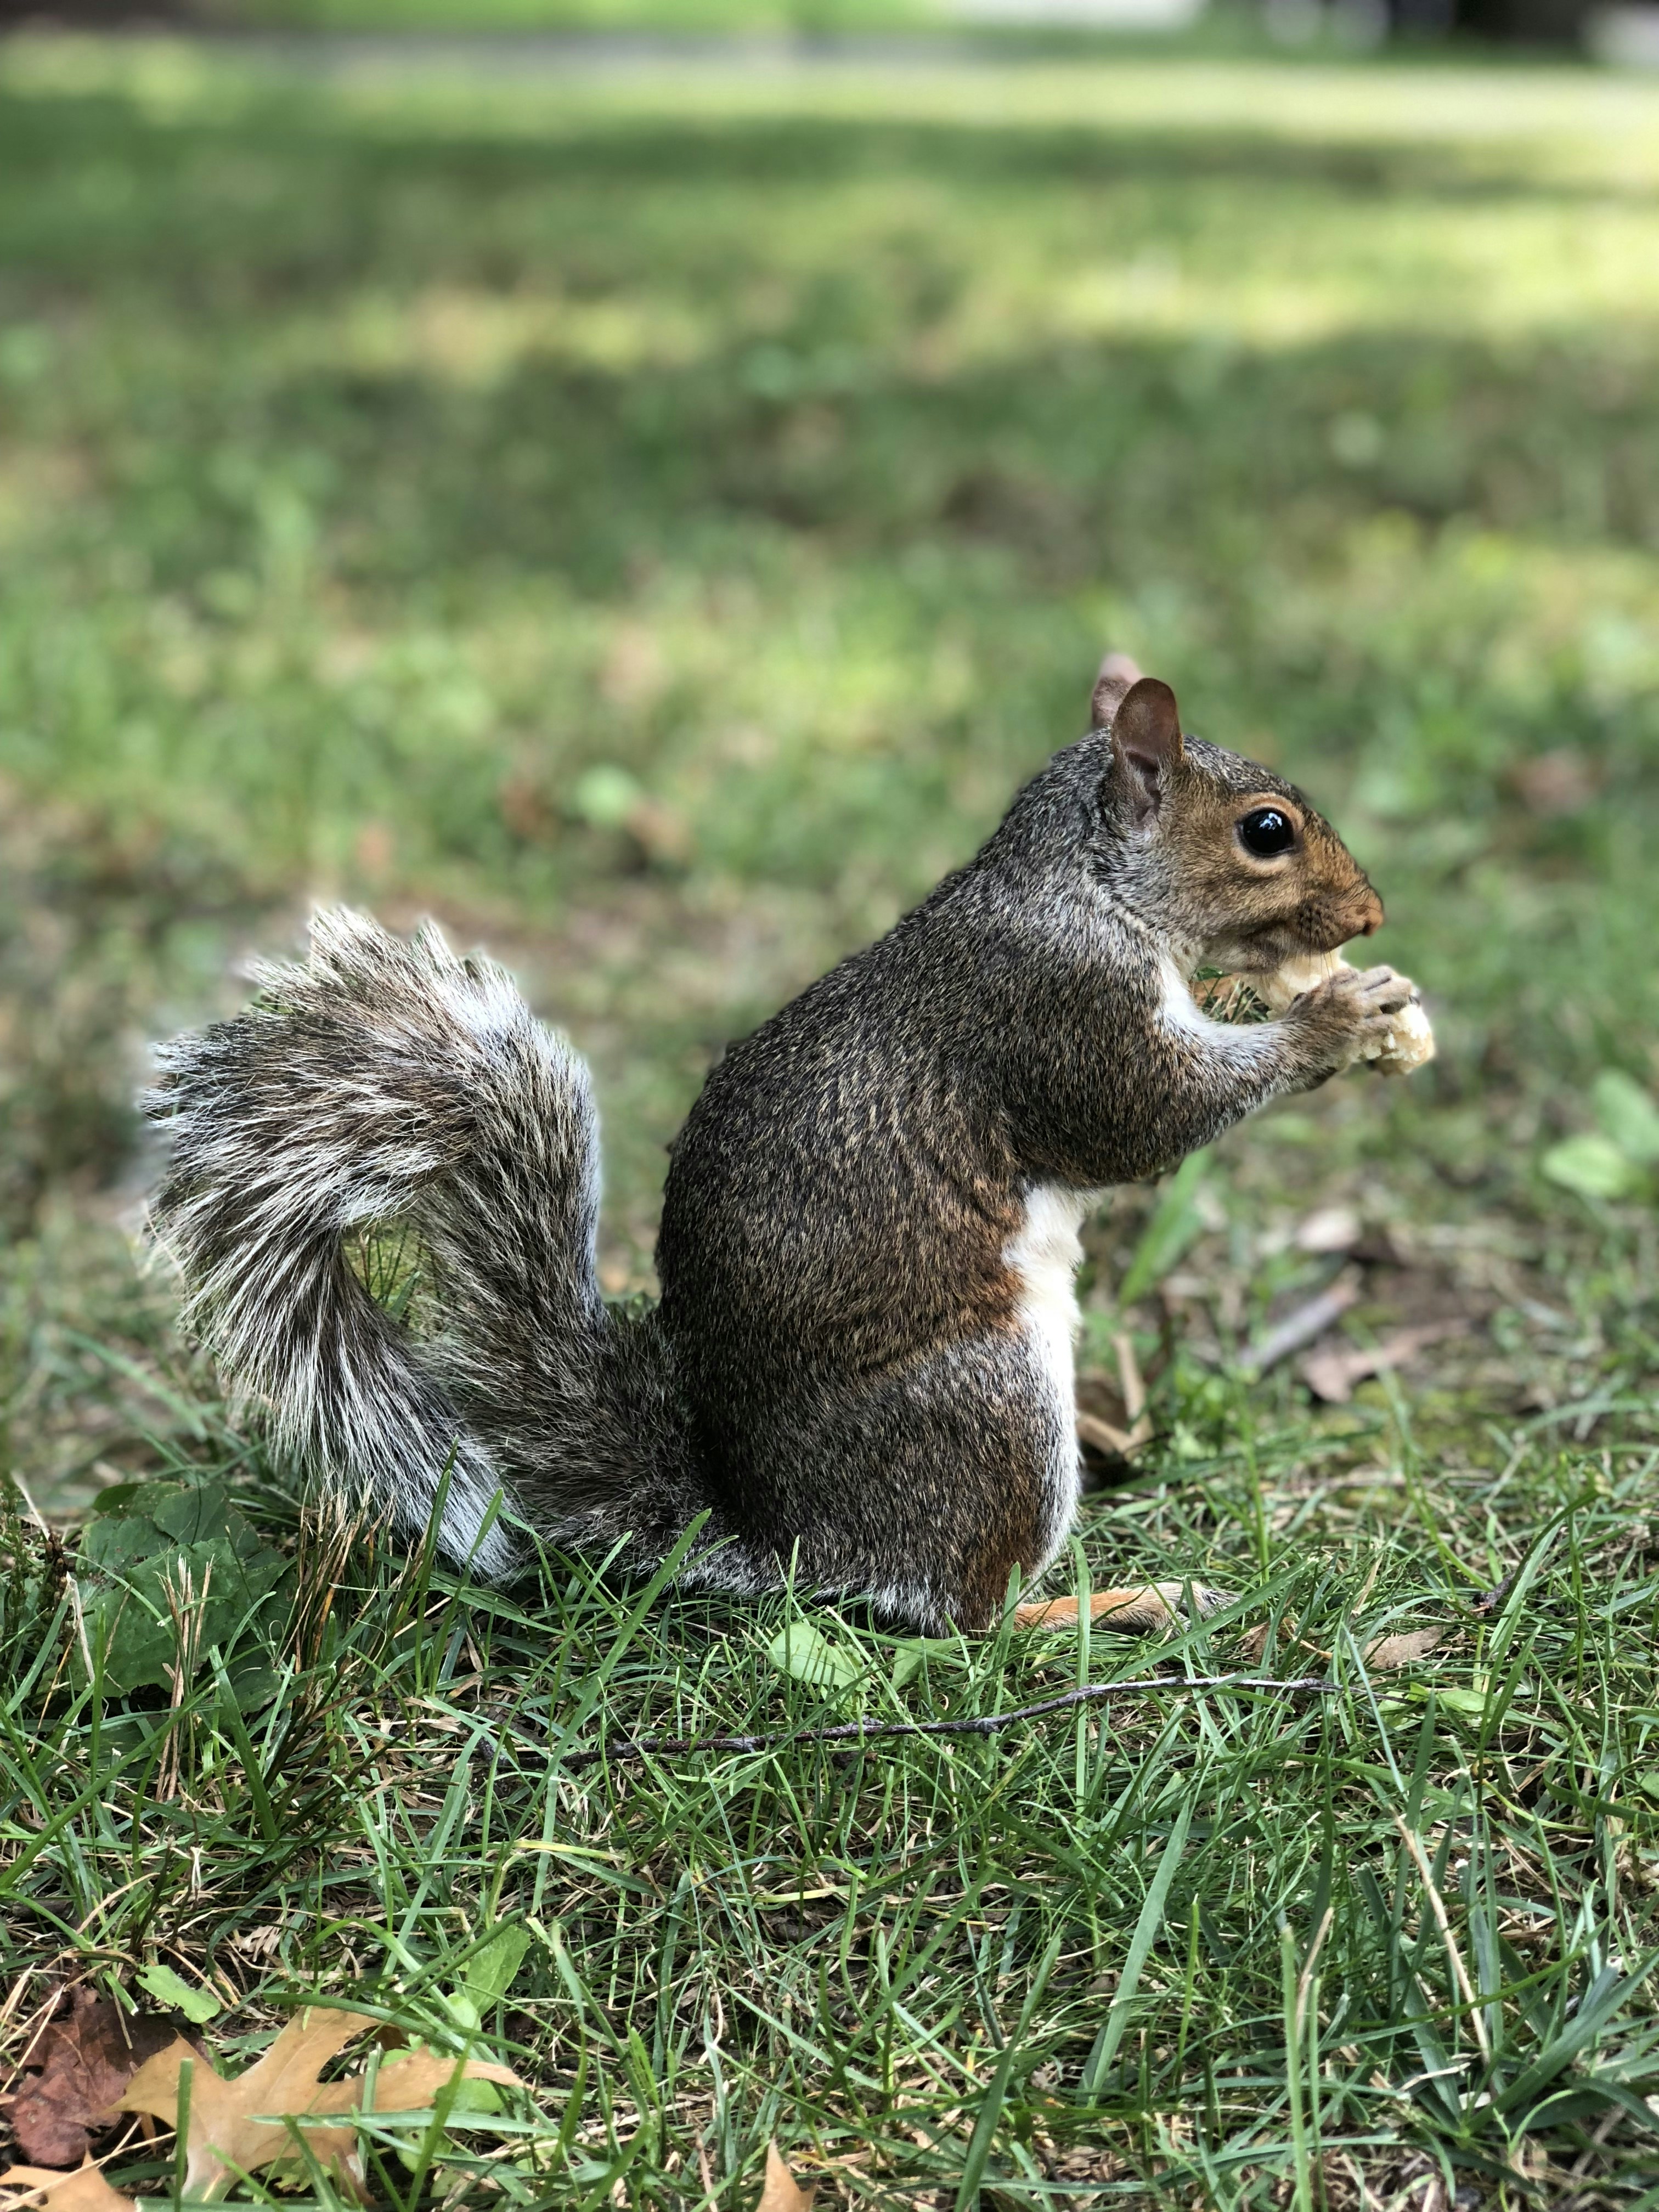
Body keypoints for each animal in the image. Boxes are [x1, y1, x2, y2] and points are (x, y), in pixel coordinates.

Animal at [145, 661, 1417, 1637]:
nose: (1370, 917)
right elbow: (1143, 1120)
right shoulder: (1056, 1014)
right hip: (988, 1406)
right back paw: (1112, 1607)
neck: (1085, 885)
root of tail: (787, 1541)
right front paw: (1334, 1019)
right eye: (1266, 832)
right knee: (968, 1617)